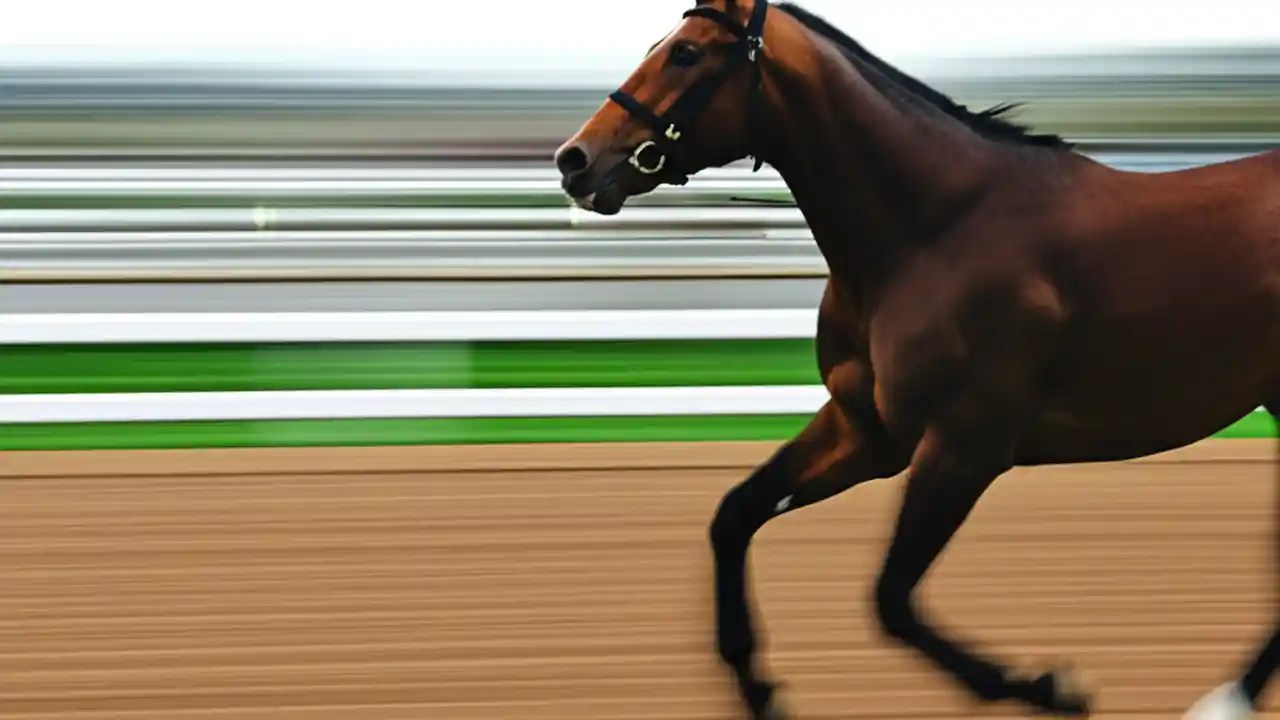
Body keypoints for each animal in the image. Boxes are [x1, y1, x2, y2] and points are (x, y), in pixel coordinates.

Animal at [553, 1, 1279, 717]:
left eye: (687, 52)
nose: (574, 160)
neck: (932, 233)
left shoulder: (963, 447)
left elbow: (891, 599)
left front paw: (1045, 686)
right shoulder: (867, 429)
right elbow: (734, 516)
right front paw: (758, 689)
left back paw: (1223, 701)